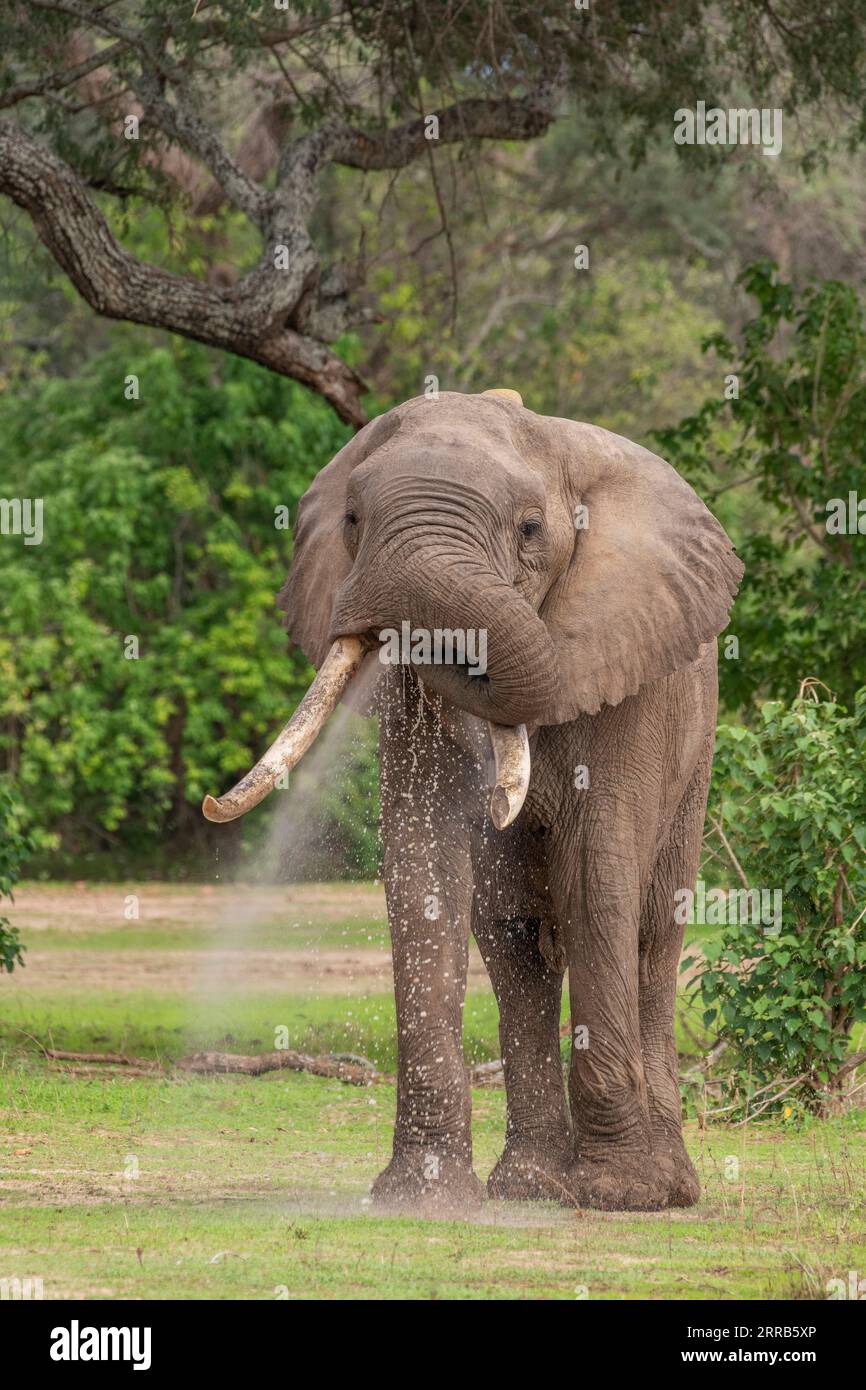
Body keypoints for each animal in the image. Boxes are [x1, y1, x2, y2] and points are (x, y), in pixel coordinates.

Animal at [203, 388, 743, 1213]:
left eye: (530, 529)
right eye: (353, 520)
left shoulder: (630, 664)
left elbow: (594, 875)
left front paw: (620, 1194)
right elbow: (425, 868)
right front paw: (418, 1197)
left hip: (696, 747)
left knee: (652, 934)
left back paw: (663, 1189)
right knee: (516, 942)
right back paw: (529, 1186)